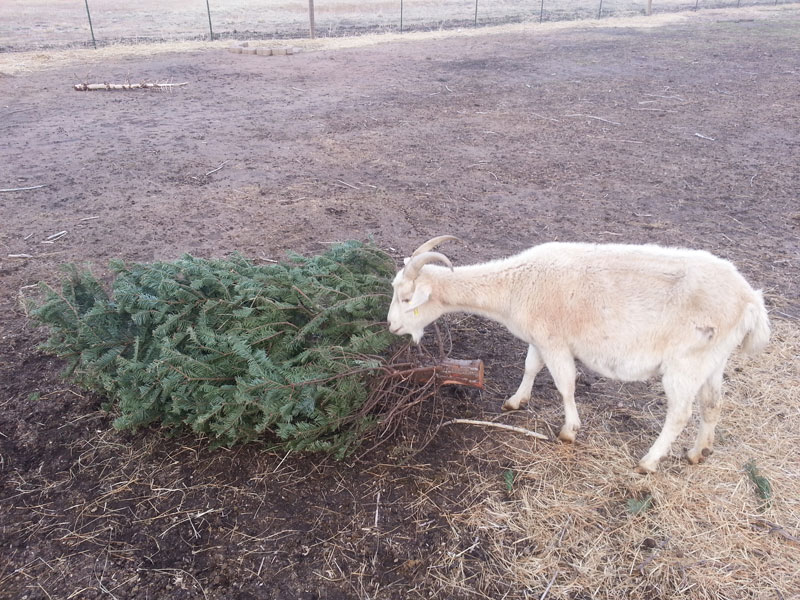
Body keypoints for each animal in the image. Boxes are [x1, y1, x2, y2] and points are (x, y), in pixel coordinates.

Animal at [387, 236, 770, 473]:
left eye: (407, 298)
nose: (391, 325)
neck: (517, 285)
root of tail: (750, 300)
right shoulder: (539, 338)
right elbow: (530, 366)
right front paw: (515, 401)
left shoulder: (556, 341)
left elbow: (565, 384)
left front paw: (569, 431)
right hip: (713, 359)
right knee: (713, 404)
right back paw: (697, 452)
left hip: (685, 362)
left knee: (679, 413)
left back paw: (648, 461)